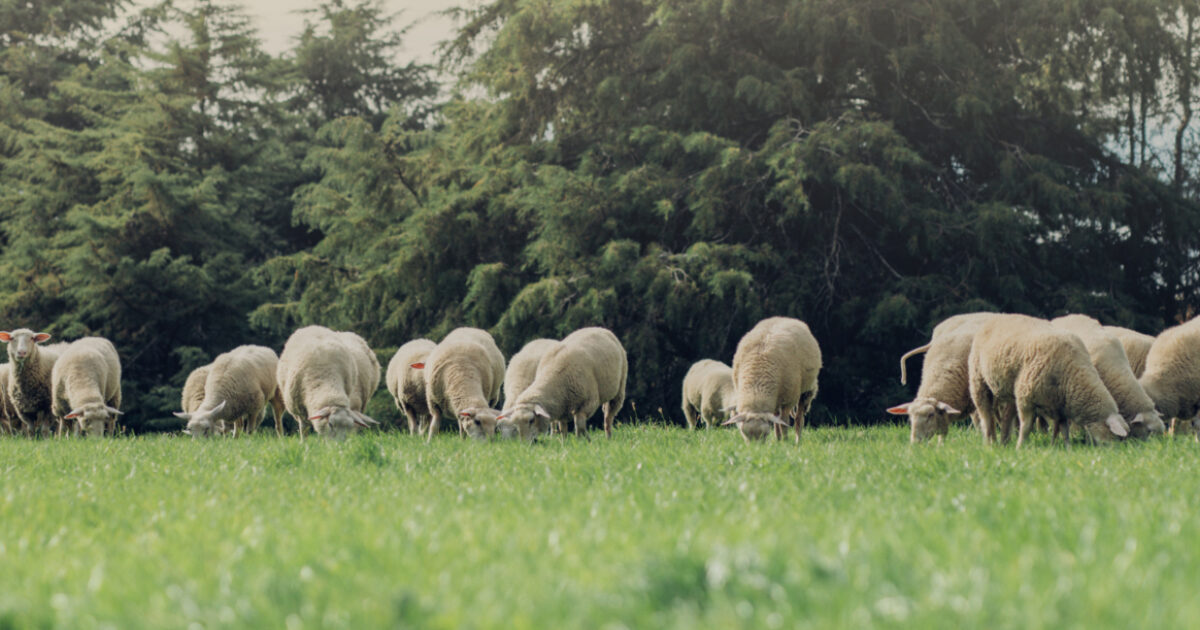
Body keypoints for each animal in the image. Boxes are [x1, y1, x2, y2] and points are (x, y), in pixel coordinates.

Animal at [497, 327, 627, 442]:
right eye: (516, 425)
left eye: (531, 420)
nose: (524, 445)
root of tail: (599, 328)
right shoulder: (562, 406)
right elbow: (563, 427)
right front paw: (565, 443)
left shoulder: (587, 403)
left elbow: (579, 424)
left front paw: (583, 441)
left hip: (619, 389)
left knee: (608, 416)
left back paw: (608, 437)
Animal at [968, 314, 1129, 448]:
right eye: (1115, 437)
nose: (1114, 452)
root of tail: (997, 317)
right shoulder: (1026, 398)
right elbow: (1026, 427)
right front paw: (1020, 447)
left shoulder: (1061, 405)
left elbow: (1064, 429)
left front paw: (1067, 448)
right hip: (978, 381)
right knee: (986, 417)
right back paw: (989, 443)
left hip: (1009, 391)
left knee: (1006, 417)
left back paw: (1003, 442)